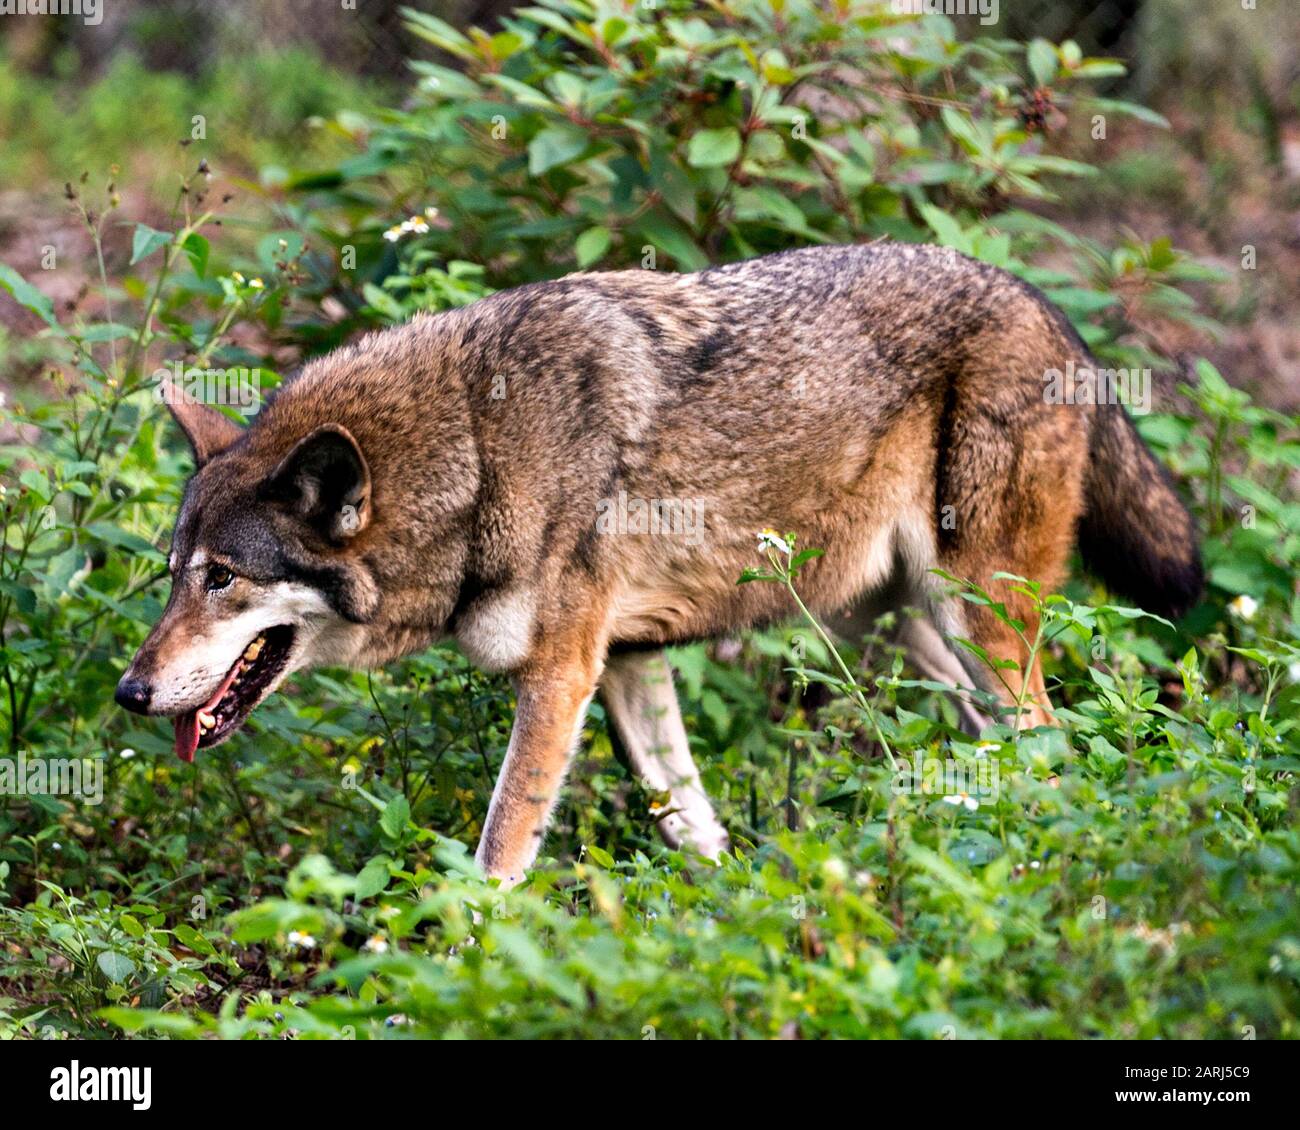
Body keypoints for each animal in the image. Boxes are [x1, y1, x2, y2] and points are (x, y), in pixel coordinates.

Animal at [115, 243, 1202, 887]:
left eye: (222, 577)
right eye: (173, 571)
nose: (128, 692)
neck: (476, 451)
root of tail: (1039, 297)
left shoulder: (562, 671)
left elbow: (499, 852)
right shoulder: (630, 661)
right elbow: (692, 823)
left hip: (973, 615)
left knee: (1049, 744)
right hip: (899, 631)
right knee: (997, 749)